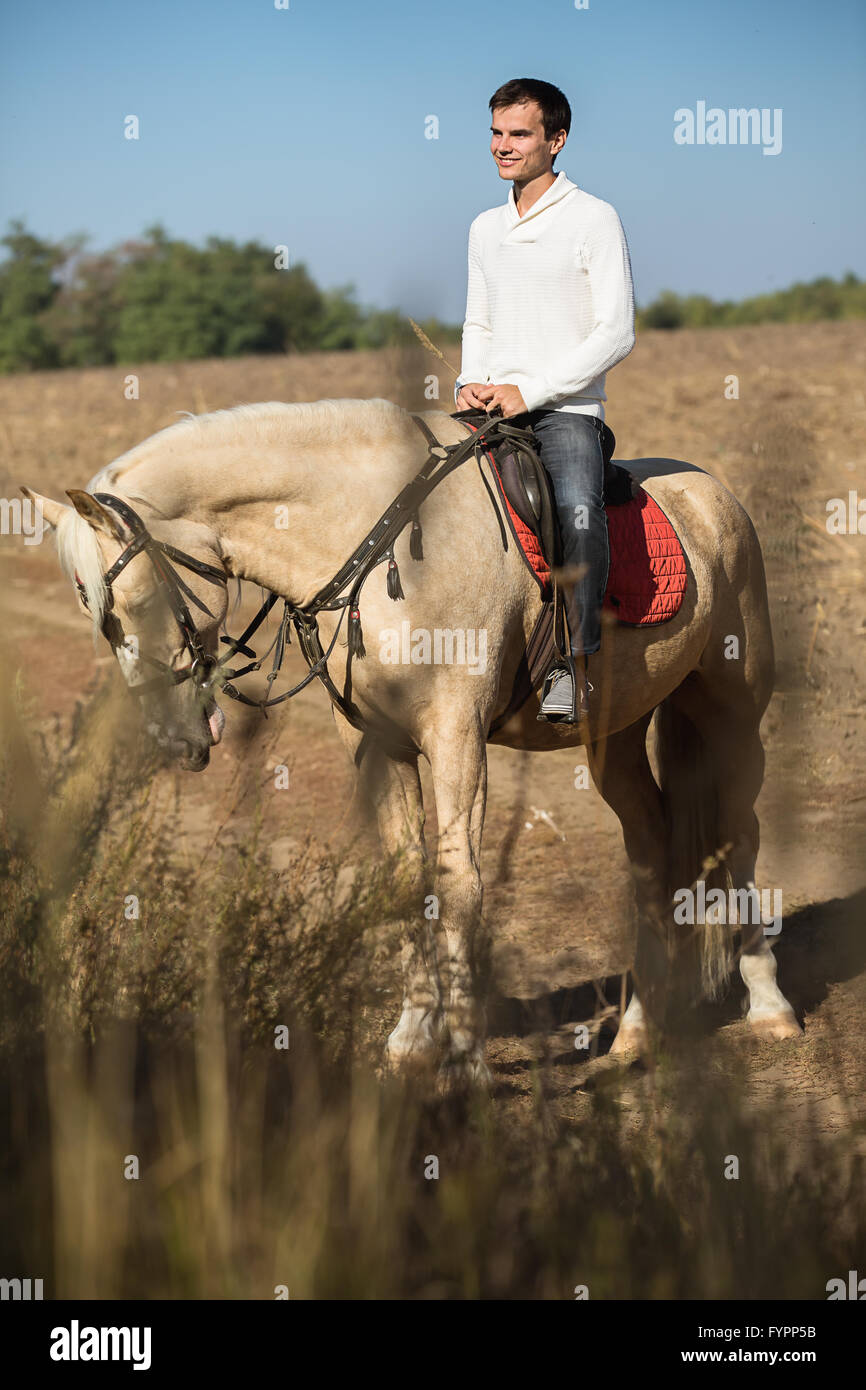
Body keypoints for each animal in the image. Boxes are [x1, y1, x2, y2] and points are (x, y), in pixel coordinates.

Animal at [23, 397, 801, 1082]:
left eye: (132, 604)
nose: (174, 737)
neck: (381, 549)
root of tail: (711, 493)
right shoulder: (381, 745)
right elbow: (406, 881)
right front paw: (411, 1041)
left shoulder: (456, 738)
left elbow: (459, 884)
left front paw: (468, 1060)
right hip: (616, 737)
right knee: (651, 850)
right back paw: (635, 1034)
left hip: (732, 715)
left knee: (740, 834)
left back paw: (770, 1006)